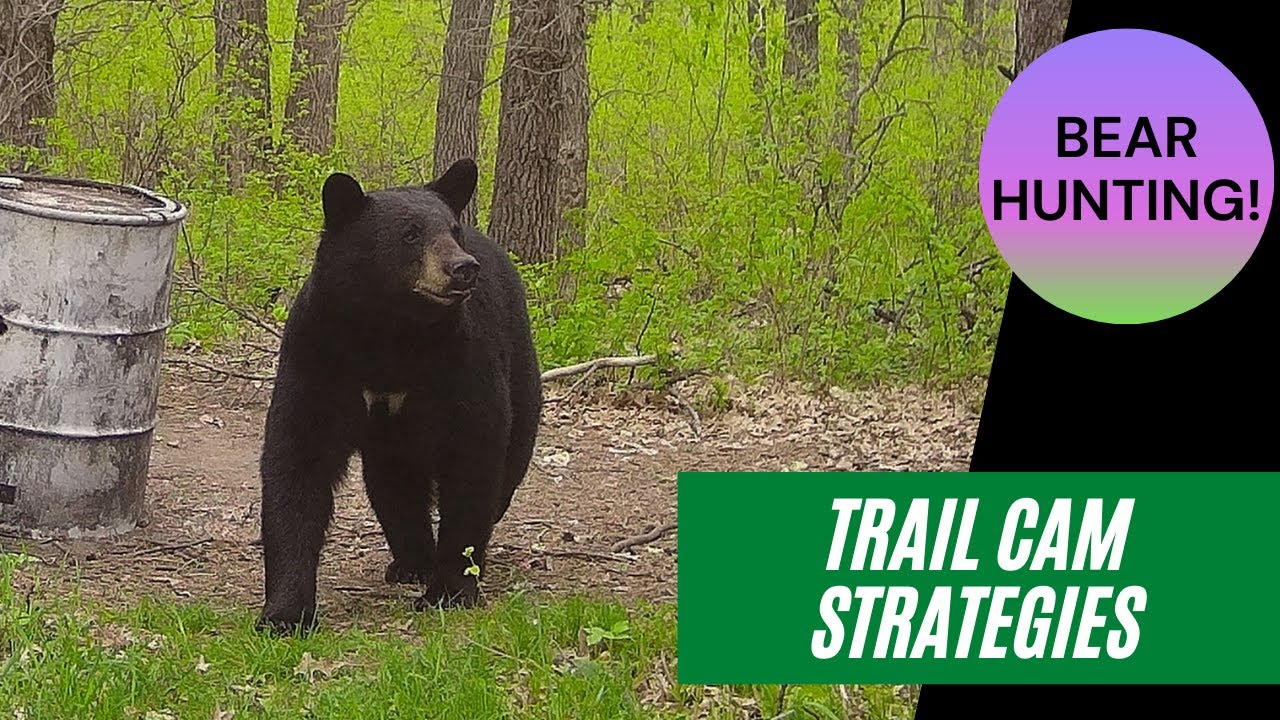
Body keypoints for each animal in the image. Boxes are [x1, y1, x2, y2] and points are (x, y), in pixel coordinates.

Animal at [255, 158, 542, 635]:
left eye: (452, 230)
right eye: (409, 233)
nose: (463, 267)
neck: (393, 333)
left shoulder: (462, 361)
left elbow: (473, 457)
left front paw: (450, 590)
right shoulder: (319, 356)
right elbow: (297, 460)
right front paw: (284, 612)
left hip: (520, 364)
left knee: (510, 459)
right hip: (391, 441)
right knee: (392, 483)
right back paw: (411, 562)